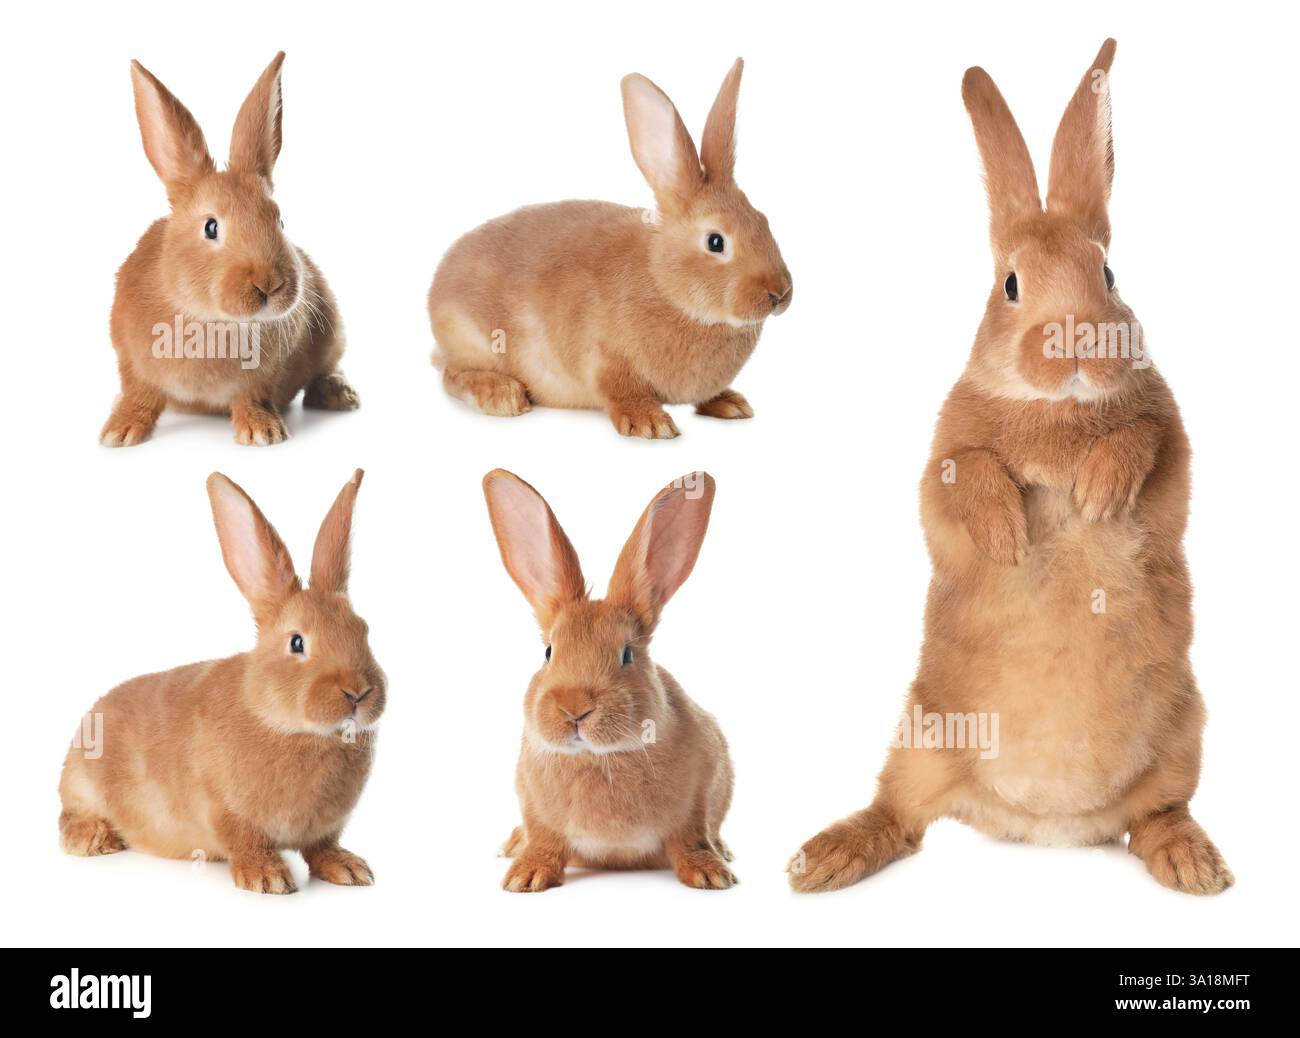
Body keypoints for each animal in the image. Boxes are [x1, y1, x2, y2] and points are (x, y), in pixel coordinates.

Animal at [58, 470, 385, 894]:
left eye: (363, 630)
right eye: (297, 642)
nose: (358, 692)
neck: (284, 722)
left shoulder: (325, 828)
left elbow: (321, 847)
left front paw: (348, 869)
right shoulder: (223, 809)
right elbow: (245, 841)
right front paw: (266, 877)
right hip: (81, 785)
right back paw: (96, 839)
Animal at [100, 53, 359, 448]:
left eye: (280, 221)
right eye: (211, 227)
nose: (270, 284)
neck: (209, 319)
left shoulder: (261, 378)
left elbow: (251, 397)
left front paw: (263, 433)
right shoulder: (131, 362)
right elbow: (139, 395)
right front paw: (120, 431)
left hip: (333, 335)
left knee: (325, 369)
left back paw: (339, 395)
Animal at [429, 59, 792, 439]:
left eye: (763, 220)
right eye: (716, 241)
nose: (780, 294)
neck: (665, 286)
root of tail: (436, 287)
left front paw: (730, 403)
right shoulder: (605, 359)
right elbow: (620, 389)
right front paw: (650, 423)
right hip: (470, 336)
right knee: (451, 374)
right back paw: (501, 395)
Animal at [482, 469, 735, 891]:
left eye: (627, 654)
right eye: (548, 652)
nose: (574, 709)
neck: (599, 757)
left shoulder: (699, 798)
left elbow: (690, 838)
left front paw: (710, 874)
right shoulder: (534, 805)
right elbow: (545, 841)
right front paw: (525, 876)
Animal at [791, 40, 1232, 896]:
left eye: (1109, 273)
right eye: (1012, 284)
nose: (1077, 344)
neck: (1056, 410)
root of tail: (1046, 826)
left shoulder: (1173, 449)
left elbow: (1143, 442)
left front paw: (1097, 494)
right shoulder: (941, 464)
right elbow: (963, 475)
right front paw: (1008, 536)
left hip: (1183, 737)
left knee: (1160, 814)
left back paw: (1193, 865)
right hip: (922, 738)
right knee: (898, 815)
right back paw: (822, 859)